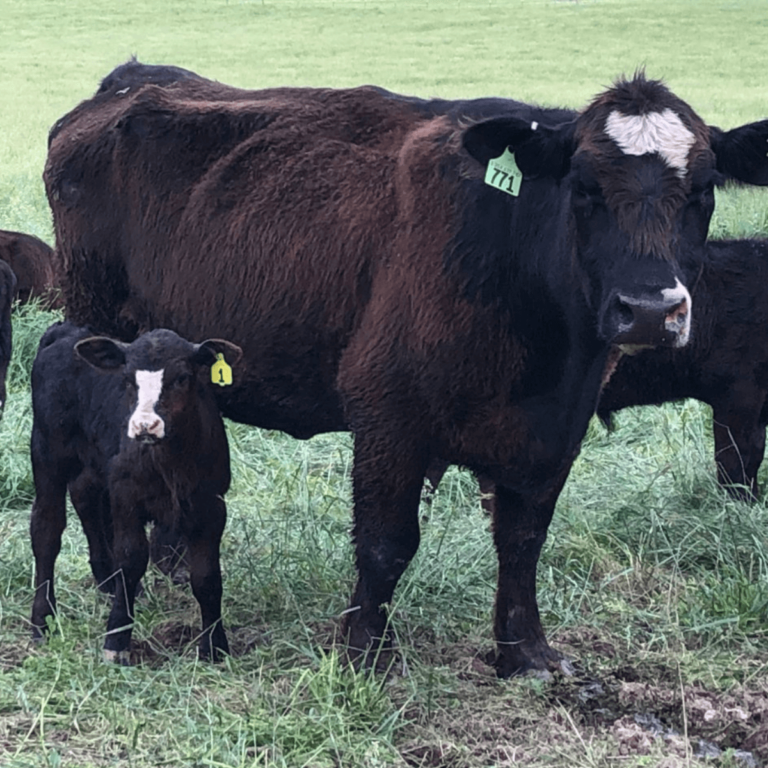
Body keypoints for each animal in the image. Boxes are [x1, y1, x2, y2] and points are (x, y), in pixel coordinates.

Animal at [29, 321, 242, 663]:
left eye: (182, 378)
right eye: (128, 379)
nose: (145, 426)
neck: (170, 463)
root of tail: (66, 332)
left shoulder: (211, 505)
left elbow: (207, 576)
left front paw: (214, 645)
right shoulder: (126, 497)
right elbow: (130, 560)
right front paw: (116, 639)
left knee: (84, 494)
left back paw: (105, 582)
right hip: (47, 451)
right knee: (46, 530)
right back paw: (42, 620)